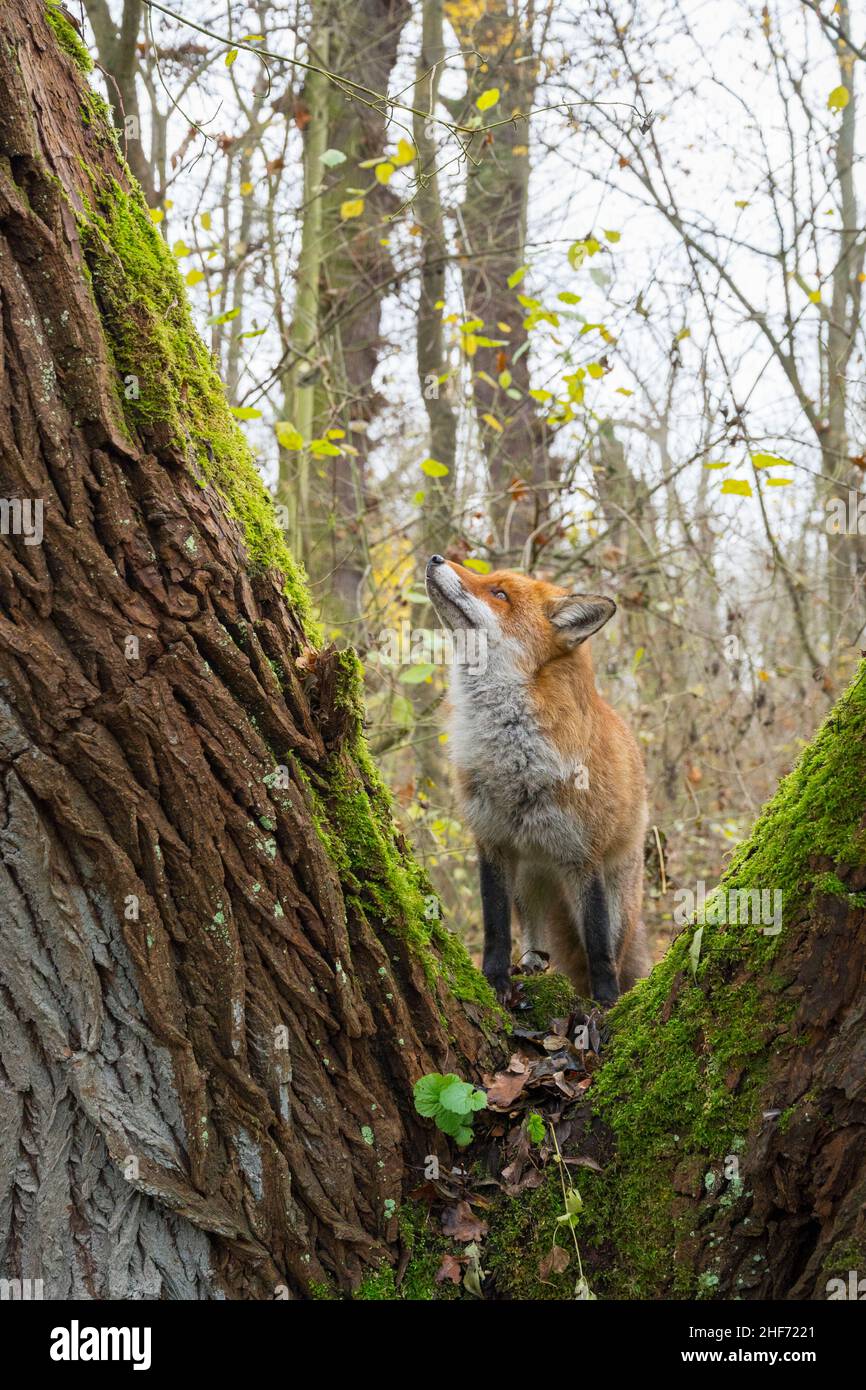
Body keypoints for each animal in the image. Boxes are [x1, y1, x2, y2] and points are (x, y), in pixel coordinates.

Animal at [425, 554, 649, 1007]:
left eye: (499, 594)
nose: (435, 558)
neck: (516, 758)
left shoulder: (584, 856)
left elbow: (597, 948)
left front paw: (605, 1004)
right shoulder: (492, 842)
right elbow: (495, 930)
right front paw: (494, 981)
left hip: (619, 897)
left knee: (613, 948)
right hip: (528, 885)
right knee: (534, 936)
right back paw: (531, 966)